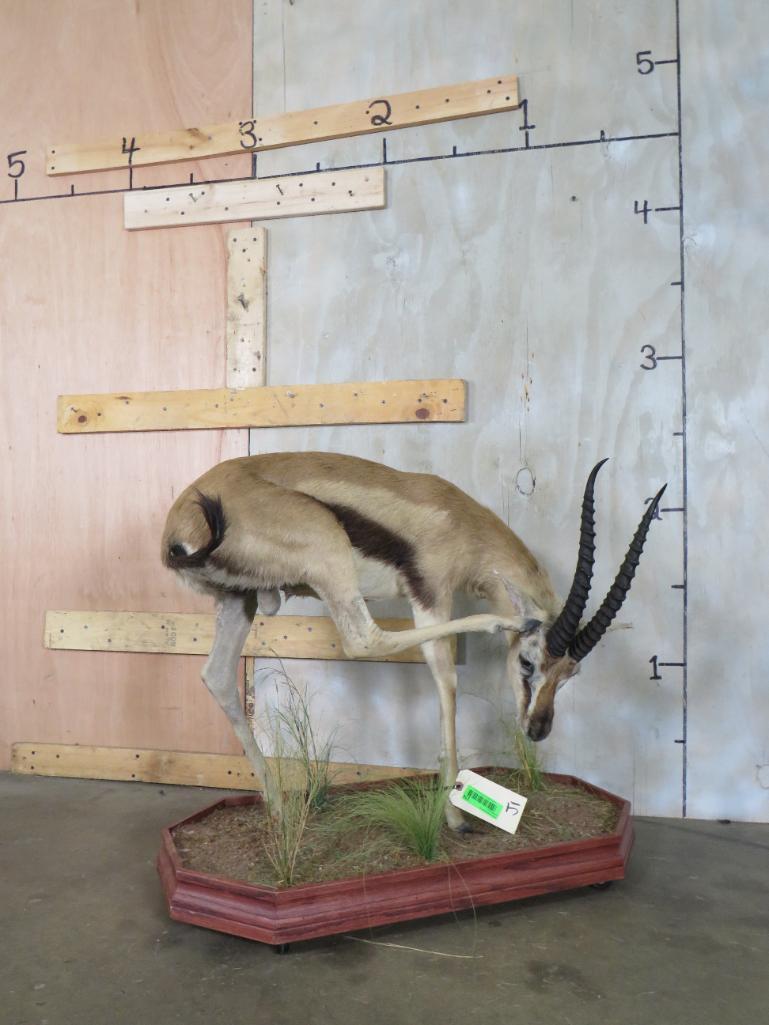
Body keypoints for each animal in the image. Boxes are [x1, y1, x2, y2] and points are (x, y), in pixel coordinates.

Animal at [162, 452, 664, 829]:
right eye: (528, 663)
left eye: (571, 674)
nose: (538, 729)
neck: (460, 523)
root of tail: (178, 524)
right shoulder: (431, 596)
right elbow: (447, 681)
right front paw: (455, 818)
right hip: (327, 556)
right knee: (364, 639)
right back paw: (500, 621)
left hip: (239, 599)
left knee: (217, 676)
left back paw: (281, 811)